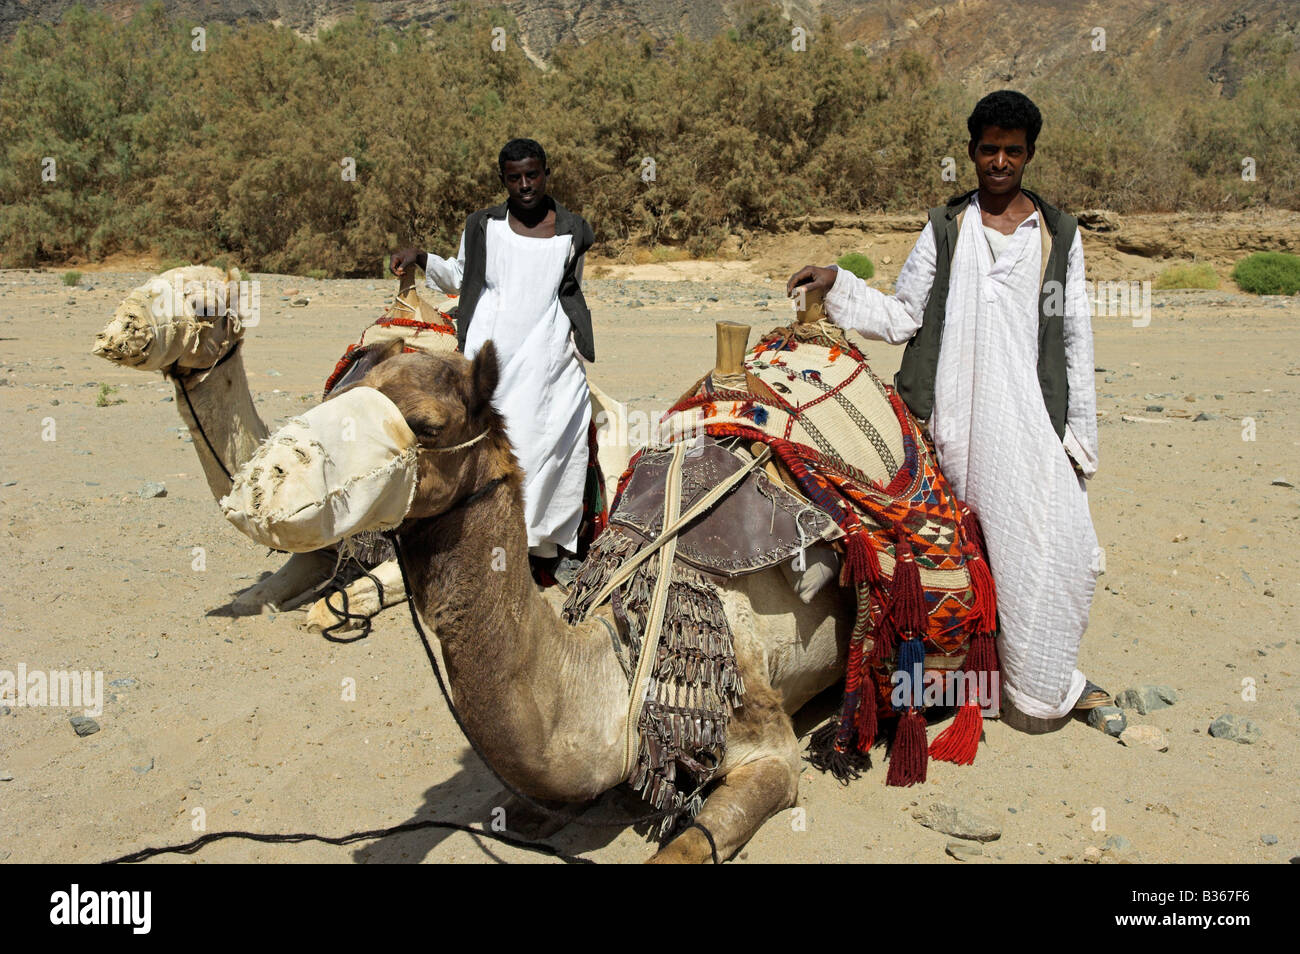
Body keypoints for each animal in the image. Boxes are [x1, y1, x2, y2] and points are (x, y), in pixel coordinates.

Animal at [225, 340, 850, 863]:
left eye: (425, 425)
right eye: (337, 394)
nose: (260, 483)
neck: (622, 662)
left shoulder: (768, 746)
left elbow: (693, 840)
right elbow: (521, 805)